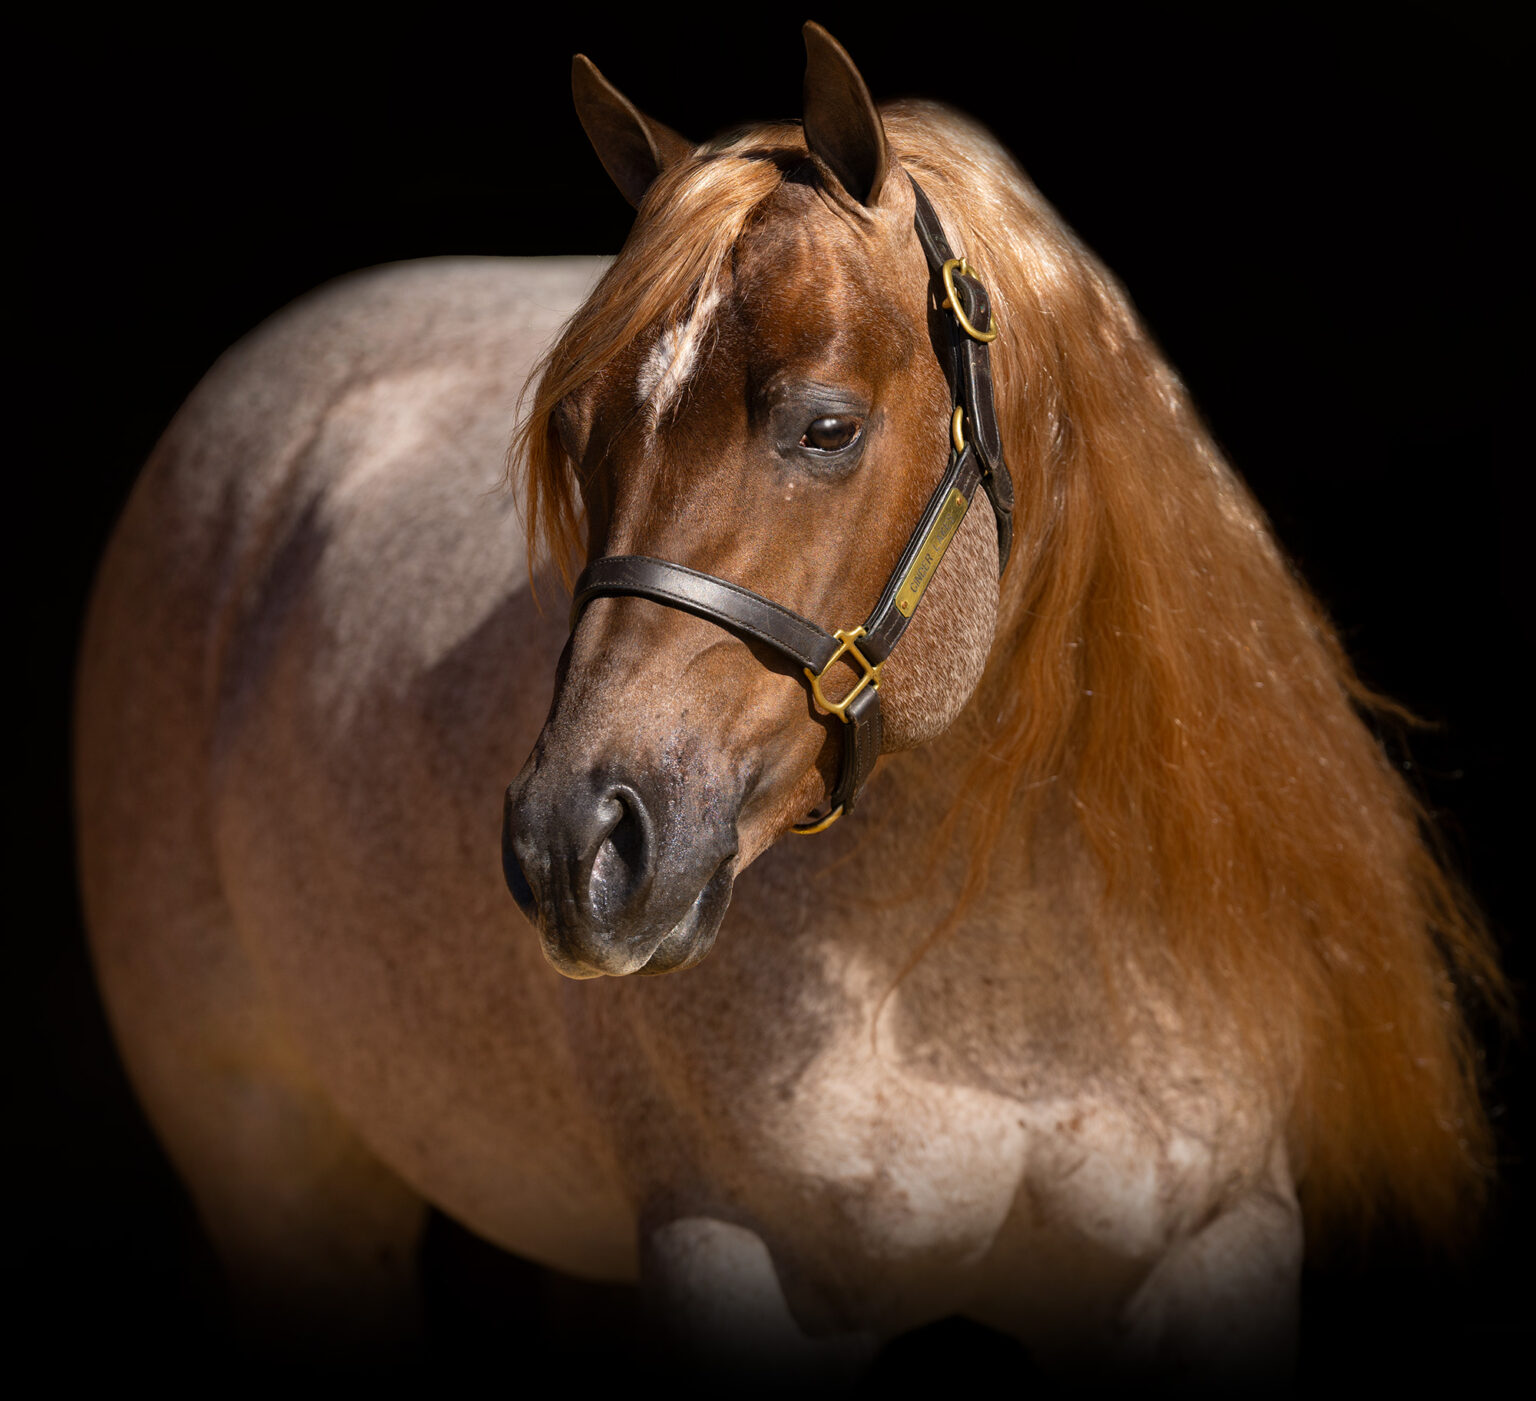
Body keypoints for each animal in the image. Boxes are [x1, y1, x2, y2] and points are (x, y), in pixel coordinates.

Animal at [74, 21, 1501, 1383]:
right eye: (578, 436)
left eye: (825, 428)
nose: (574, 847)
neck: (1009, 975)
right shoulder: (737, 1256)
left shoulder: (1217, 1246)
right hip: (288, 1189)